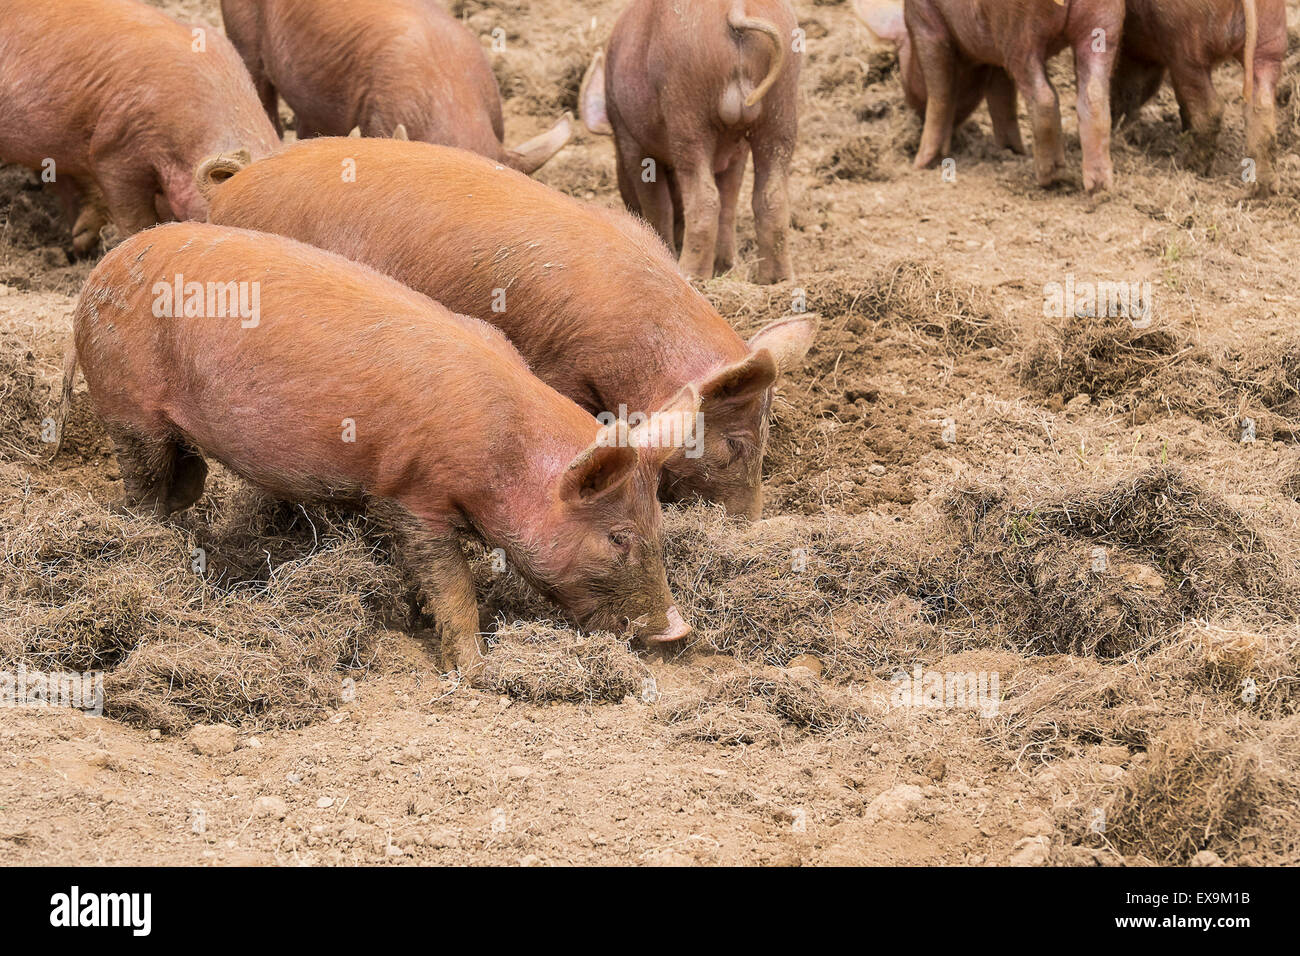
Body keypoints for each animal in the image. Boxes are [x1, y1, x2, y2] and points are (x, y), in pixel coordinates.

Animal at [58, 222, 696, 679]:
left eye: (658, 524)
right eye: (618, 538)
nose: (676, 632)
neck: (505, 453)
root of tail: (98, 274)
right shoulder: (411, 494)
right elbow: (452, 585)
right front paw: (474, 670)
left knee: (183, 475)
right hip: (126, 403)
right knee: (143, 482)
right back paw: (152, 537)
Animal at [579, 0, 801, 283]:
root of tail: (735, 9)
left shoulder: (631, 142)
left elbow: (658, 204)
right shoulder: (737, 151)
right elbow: (729, 197)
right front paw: (724, 267)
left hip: (686, 109)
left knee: (704, 198)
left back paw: (690, 274)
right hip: (783, 105)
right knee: (771, 195)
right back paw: (775, 280)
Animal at [854, 0, 1124, 193]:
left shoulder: (926, 25)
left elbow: (940, 92)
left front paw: (920, 164)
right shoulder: (995, 59)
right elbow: (1002, 100)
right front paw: (1012, 150)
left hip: (1019, 29)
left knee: (1045, 98)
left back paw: (1050, 177)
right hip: (1103, 22)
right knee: (1094, 96)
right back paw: (1099, 188)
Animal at [1110, 0, 1282, 195]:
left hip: (1188, 48)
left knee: (1211, 109)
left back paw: (1191, 167)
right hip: (1269, 40)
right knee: (1261, 107)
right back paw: (1265, 189)